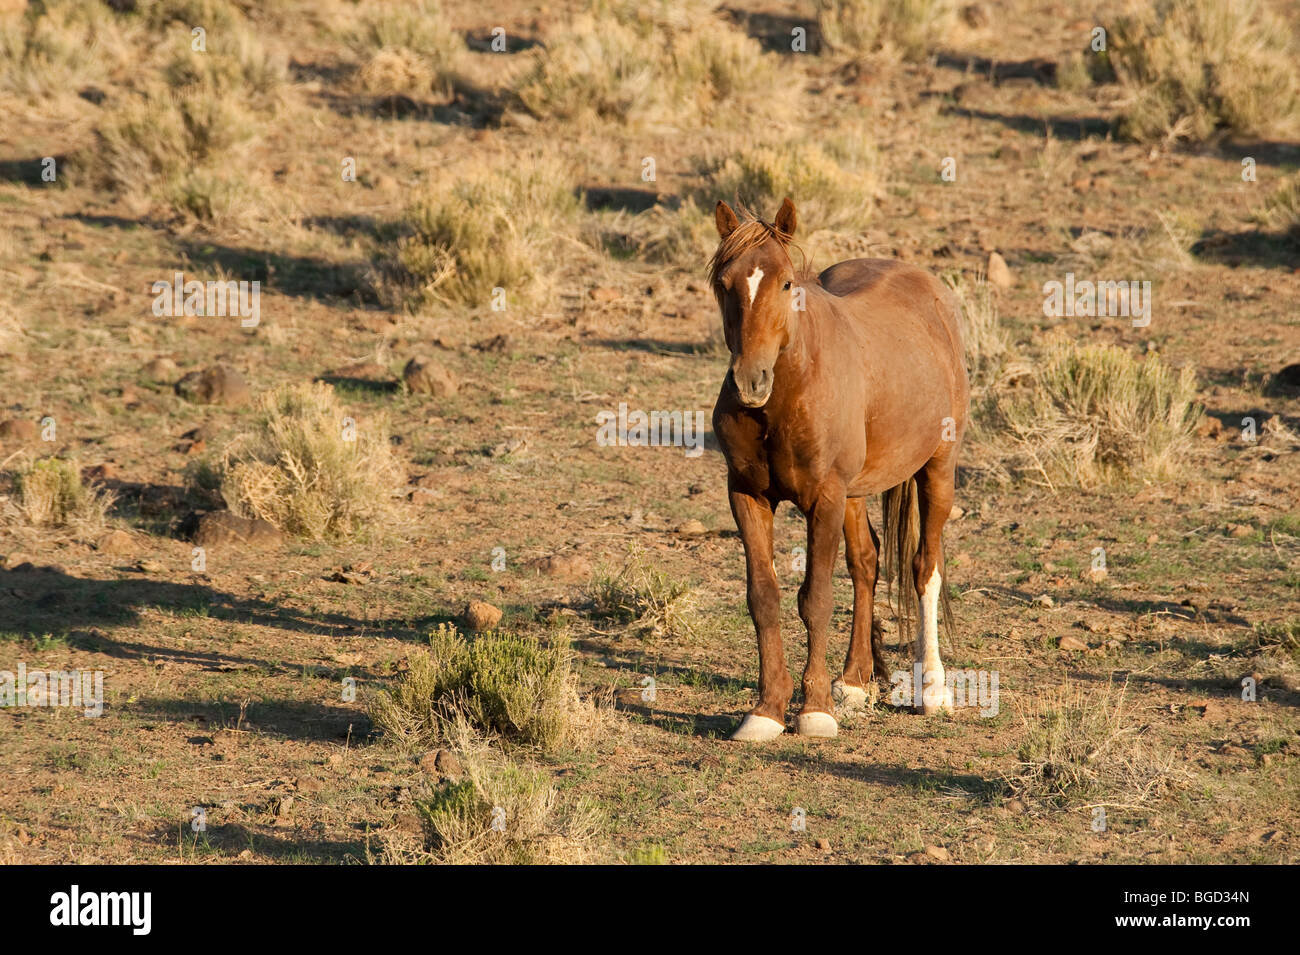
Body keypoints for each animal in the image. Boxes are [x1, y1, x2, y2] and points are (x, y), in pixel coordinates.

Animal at [709, 197, 970, 741]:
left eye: (786, 283)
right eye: (724, 282)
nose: (750, 382)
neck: (786, 396)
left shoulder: (823, 498)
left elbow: (816, 599)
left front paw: (814, 711)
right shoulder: (747, 495)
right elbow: (763, 597)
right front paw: (767, 710)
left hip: (937, 469)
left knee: (925, 567)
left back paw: (933, 689)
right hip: (856, 491)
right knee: (867, 564)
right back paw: (853, 682)